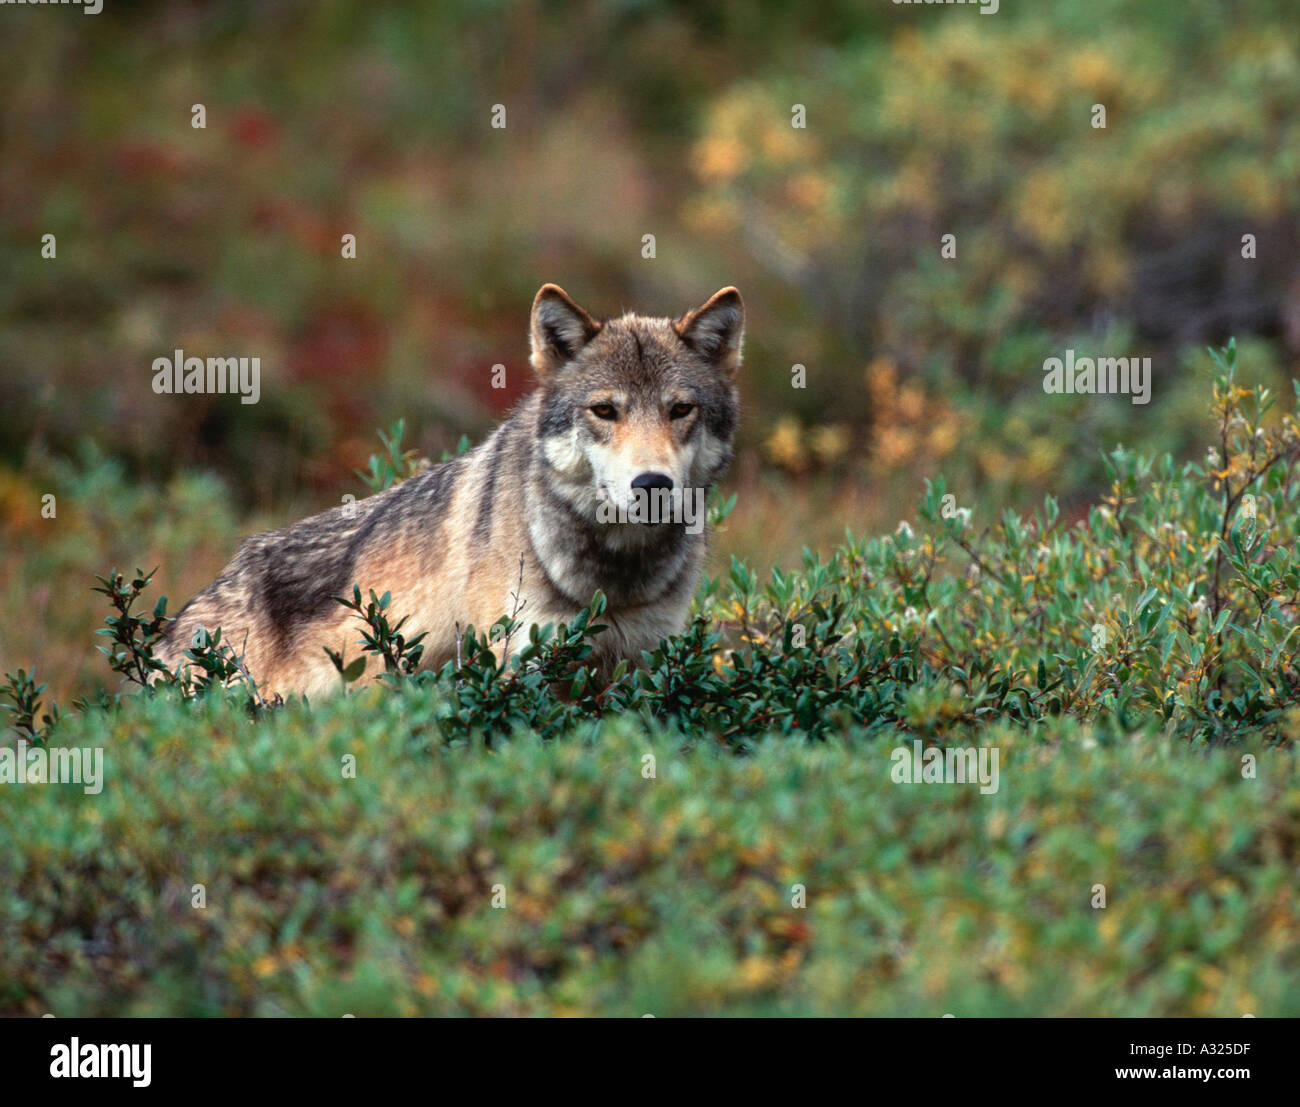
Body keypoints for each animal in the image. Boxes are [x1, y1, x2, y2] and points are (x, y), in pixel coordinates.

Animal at [155, 283, 744, 700]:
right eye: (604, 410)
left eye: (680, 409)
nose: (652, 485)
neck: (614, 577)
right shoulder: (516, 673)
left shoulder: (642, 668)